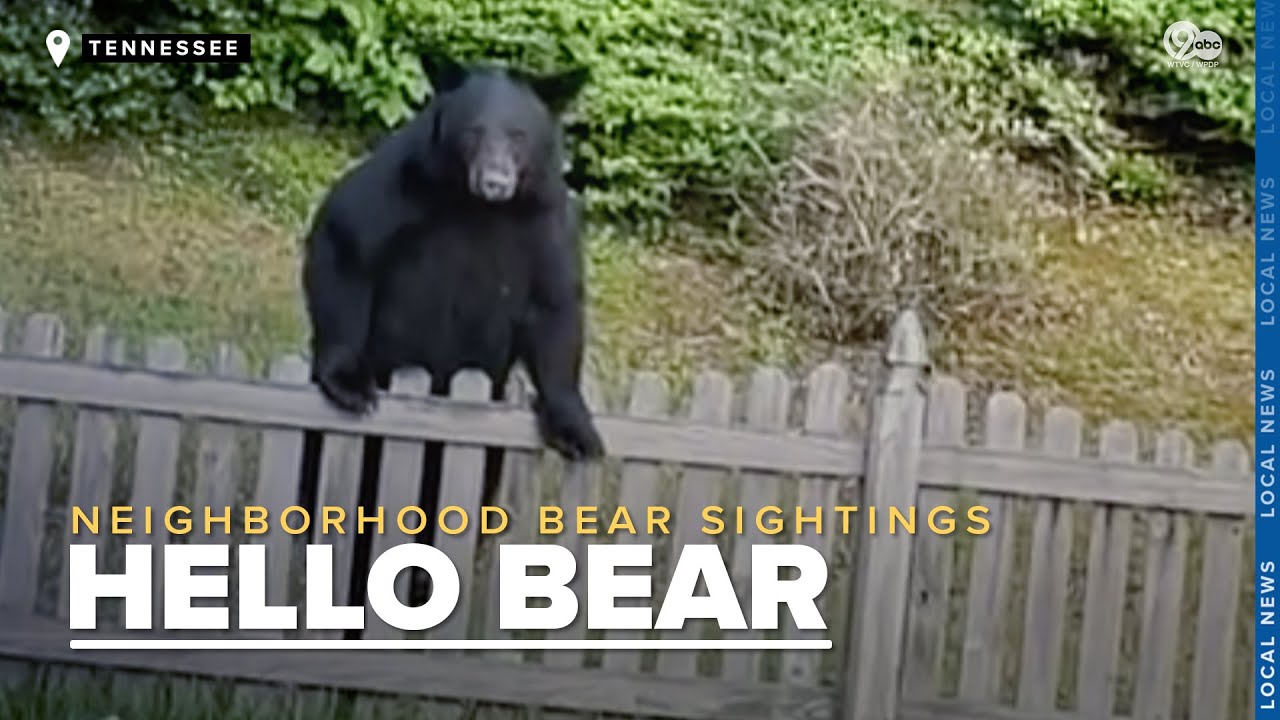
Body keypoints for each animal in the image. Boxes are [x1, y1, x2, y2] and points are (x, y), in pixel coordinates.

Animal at [297, 50, 605, 612]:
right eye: (474, 131)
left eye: (518, 134)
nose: (496, 181)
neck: (476, 206)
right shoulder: (401, 182)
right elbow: (345, 241)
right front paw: (349, 384)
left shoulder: (548, 217)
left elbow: (556, 304)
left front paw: (576, 428)